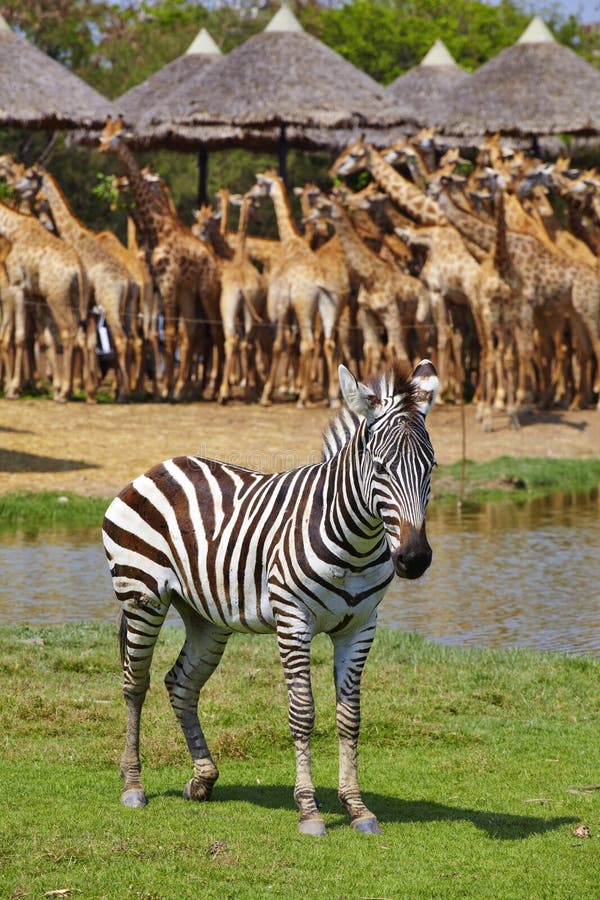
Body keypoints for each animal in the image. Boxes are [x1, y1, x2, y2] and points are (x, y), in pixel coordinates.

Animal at [102, 359, 439, 836]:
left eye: (431, 467)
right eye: (380, 468)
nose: (413, 559)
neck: (356, 540)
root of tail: (159, 466)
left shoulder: (360, 628)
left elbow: (349, 717)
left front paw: (357, 808)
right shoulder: (293, 621)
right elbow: (303, 713)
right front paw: (310, 811)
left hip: (206, 616)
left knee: (180, 683)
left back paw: (202, 779)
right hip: (141, 595)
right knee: (136, 683)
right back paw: (133, 786)